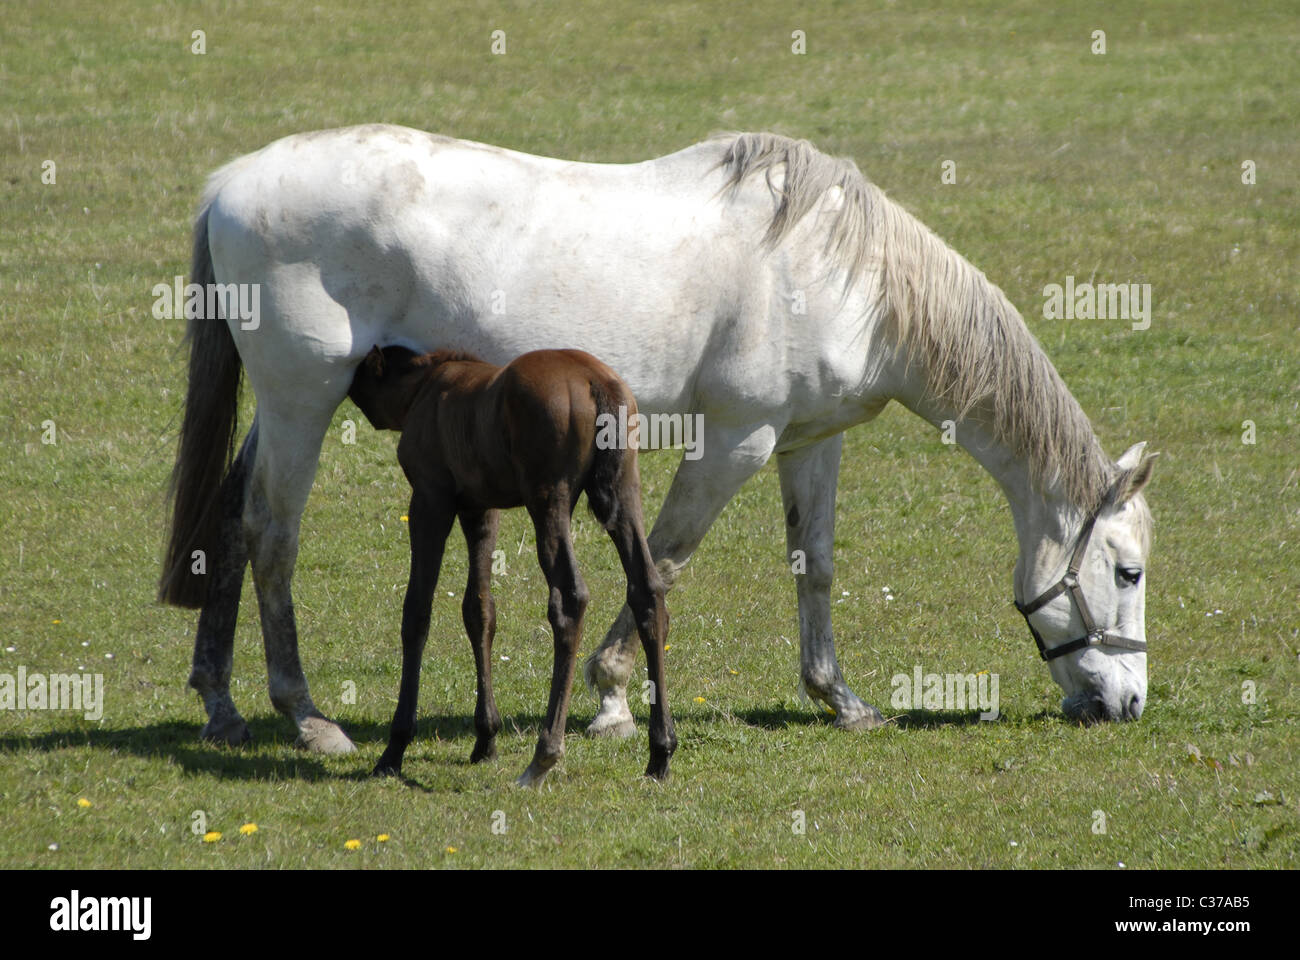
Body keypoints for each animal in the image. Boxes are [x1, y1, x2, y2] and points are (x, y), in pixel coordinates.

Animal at [347, 344, 674, 785]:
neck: (423, 388)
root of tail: (597, 382)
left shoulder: (430, 499)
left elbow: (417, 612)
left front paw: (394, 749)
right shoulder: (480, 509)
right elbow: (479, 610)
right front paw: (485, 739)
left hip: (548, 499)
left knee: (570, 598)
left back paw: (543, 755)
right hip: (624, 492)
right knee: (648, 589)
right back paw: (660, 752)